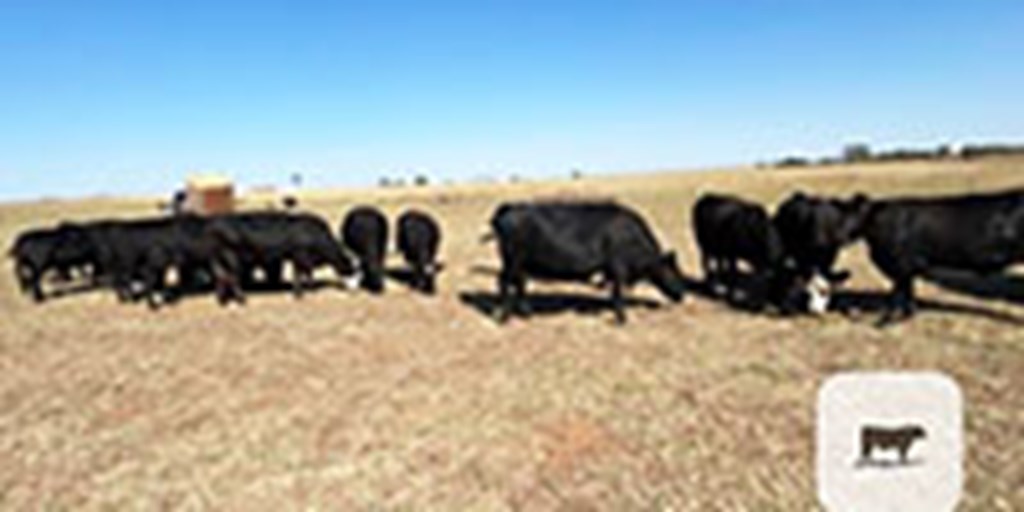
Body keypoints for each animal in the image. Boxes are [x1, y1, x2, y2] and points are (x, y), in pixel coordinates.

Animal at [489, 201, 686, 324]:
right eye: (674, 271)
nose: (682, 295)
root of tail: (510, 207)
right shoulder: (618, 268)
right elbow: (617, 294)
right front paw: (622, 319)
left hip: (518, 263)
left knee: (520, 283)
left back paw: (526, 313)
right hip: (512, 261)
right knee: (503, 281)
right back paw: (503, 318)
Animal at [862, 189, 1024, 322]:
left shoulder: (902, 264)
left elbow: (896, 293)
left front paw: (884, 321)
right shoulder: (907, 267)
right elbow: (906, 289)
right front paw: (907, 315)